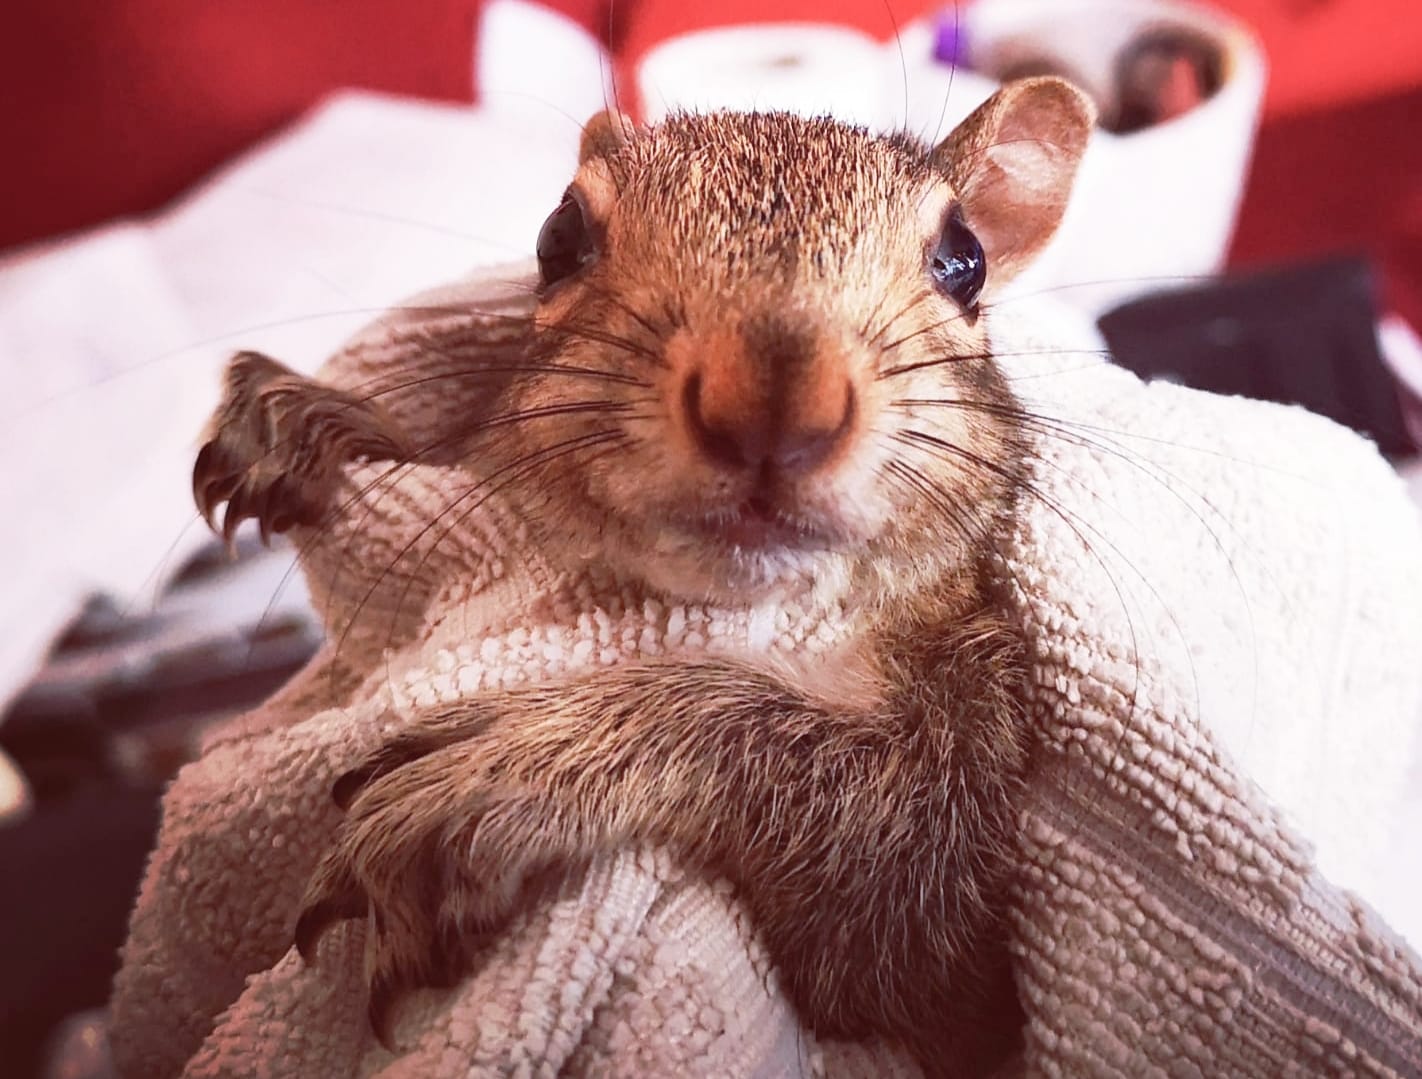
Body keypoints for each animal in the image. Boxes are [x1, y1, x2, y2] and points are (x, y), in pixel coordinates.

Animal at [193, 76, 1094, 1076]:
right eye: (556, 237)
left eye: (965, 260)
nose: (772, 408)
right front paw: (311, 418)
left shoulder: (972, 767)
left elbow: (891, 885)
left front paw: (505, 763)